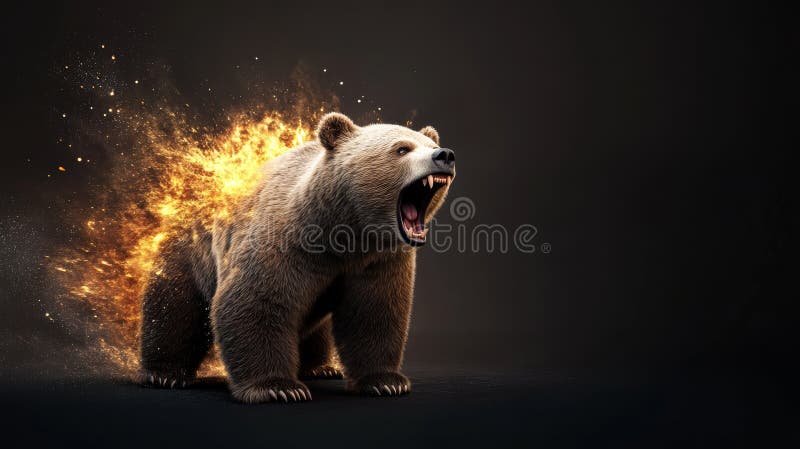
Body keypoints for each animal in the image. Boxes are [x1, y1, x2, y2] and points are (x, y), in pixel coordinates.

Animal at [138, 112, 456, 403]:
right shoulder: (282, 244)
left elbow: (374, 311)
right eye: (402, 149)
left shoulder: (378, 260)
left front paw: (386, 381)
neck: (343, 234)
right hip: (190, 252)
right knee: (174, 307)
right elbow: (255, 303)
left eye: (430, 143)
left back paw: (321, 367)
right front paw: (278, 387)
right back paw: (164, 373)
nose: (445, 155)